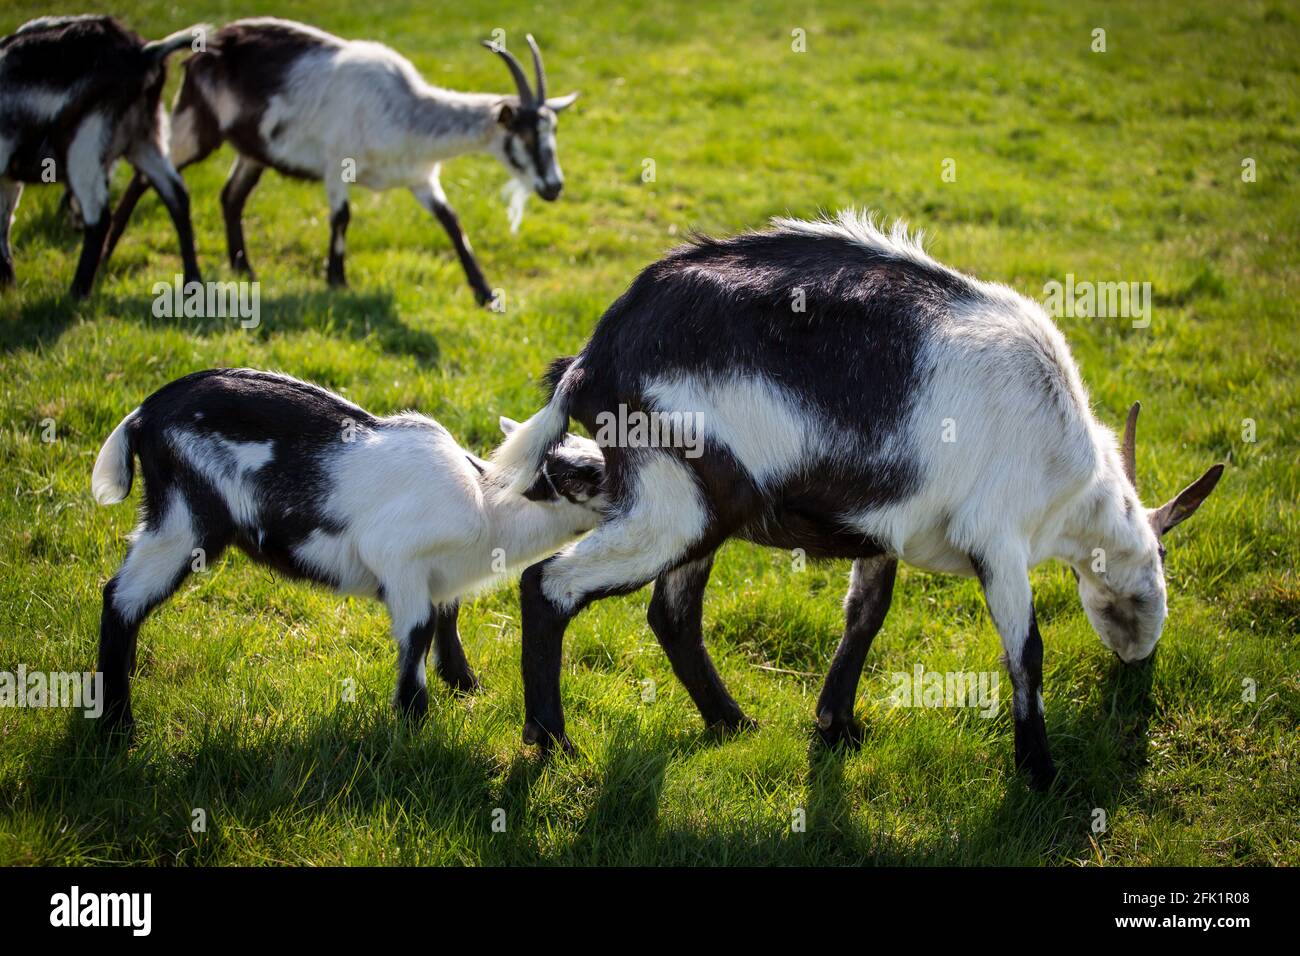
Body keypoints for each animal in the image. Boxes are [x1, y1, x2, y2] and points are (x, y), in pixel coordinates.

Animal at [0, 15, 204, 298]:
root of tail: (143, 53)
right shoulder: (9, 176)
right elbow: (4, 221)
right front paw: (9, 286)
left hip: (85, 141)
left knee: (99, 216)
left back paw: (77, 293)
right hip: (143, 138)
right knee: (177, 194)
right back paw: (192, 282)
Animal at [91, 368, 605, 730]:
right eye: (593, 473)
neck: (487, 504)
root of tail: (143, 415)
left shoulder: (440, 577)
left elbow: (447, 619)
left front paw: (465, 686)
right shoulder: (398, 559)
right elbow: (418, 630)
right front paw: (414, 720)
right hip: (184, 520)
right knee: (121, 596)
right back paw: (118, 726)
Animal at [101, 18, 578, 304]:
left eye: (553, 132)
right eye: (525, 135)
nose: (554, 187)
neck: (406, 111)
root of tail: (207, 44)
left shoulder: (420, 179)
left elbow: (451, 221)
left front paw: (485, 293)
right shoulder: (336, 165)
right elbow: (342, 217)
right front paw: (337, 279)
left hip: (254, 150)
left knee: (231, 197)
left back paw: (244, 268)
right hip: (196, 126)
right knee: (149, 177)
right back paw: (110, 254)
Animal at [493, 210, 1224, 788]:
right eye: (1160, 556)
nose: (1141, 653)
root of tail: (596, 355)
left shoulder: (886, 527)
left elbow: (866, 615)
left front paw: (835, 725)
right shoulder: (999, 541)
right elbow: (1027, 651)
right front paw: (1041, 776)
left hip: (688, 509)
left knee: (670, 612)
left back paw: (733, 723)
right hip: (678, 512)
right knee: (548, 586)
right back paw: (553, 744)